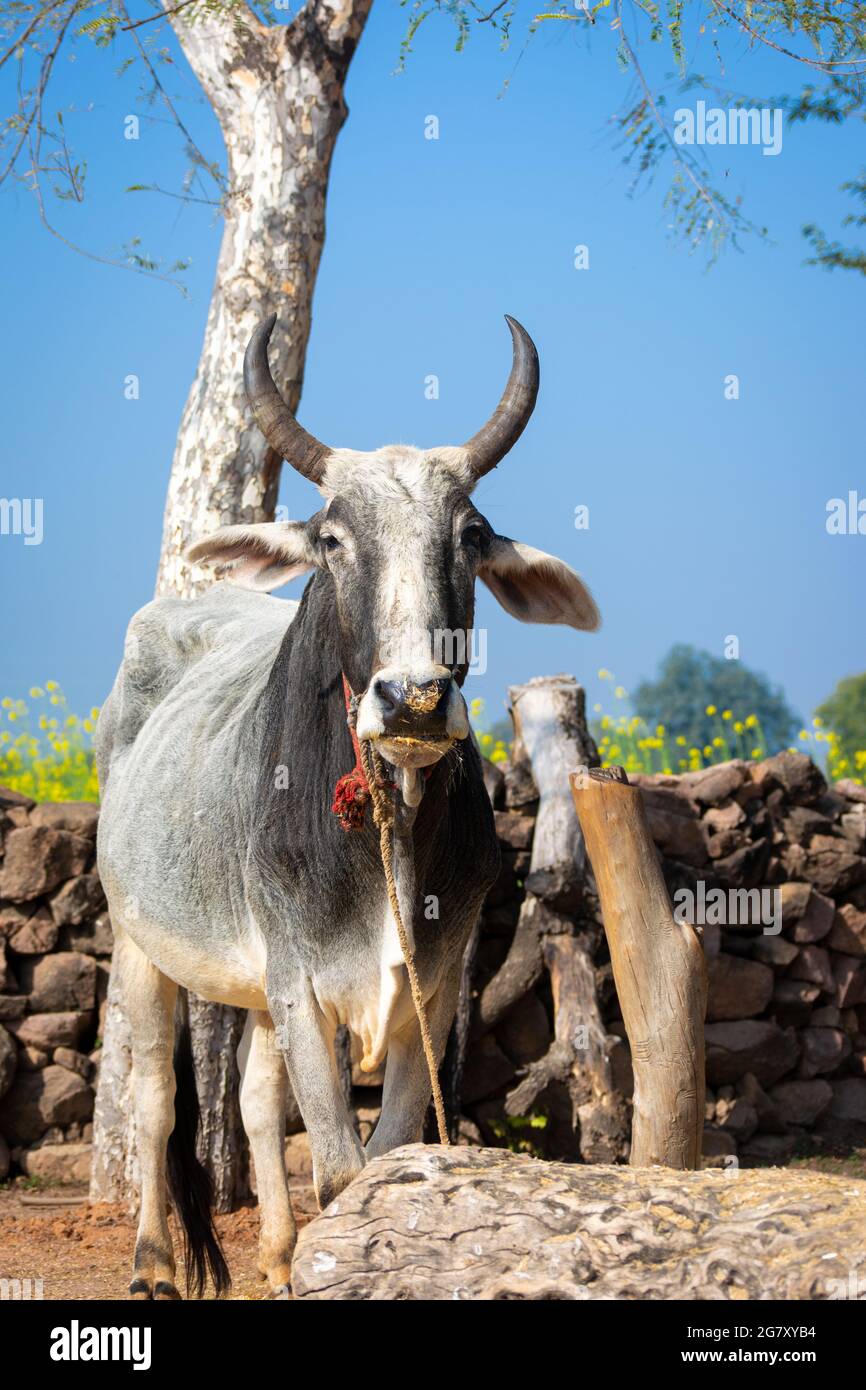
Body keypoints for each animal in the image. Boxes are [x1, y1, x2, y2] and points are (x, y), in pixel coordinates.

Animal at [95, 313, 600, 1299]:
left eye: (471, 534)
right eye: (331, 539)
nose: (413, 698)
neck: (386, 829)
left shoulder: (428, 992)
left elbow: (390, 1155)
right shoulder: (303, 987)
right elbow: (336, 1169)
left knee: (253, 1103)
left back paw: (279, 1256)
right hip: (139, 944)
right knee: (155, 1104)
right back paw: (152, 1265)